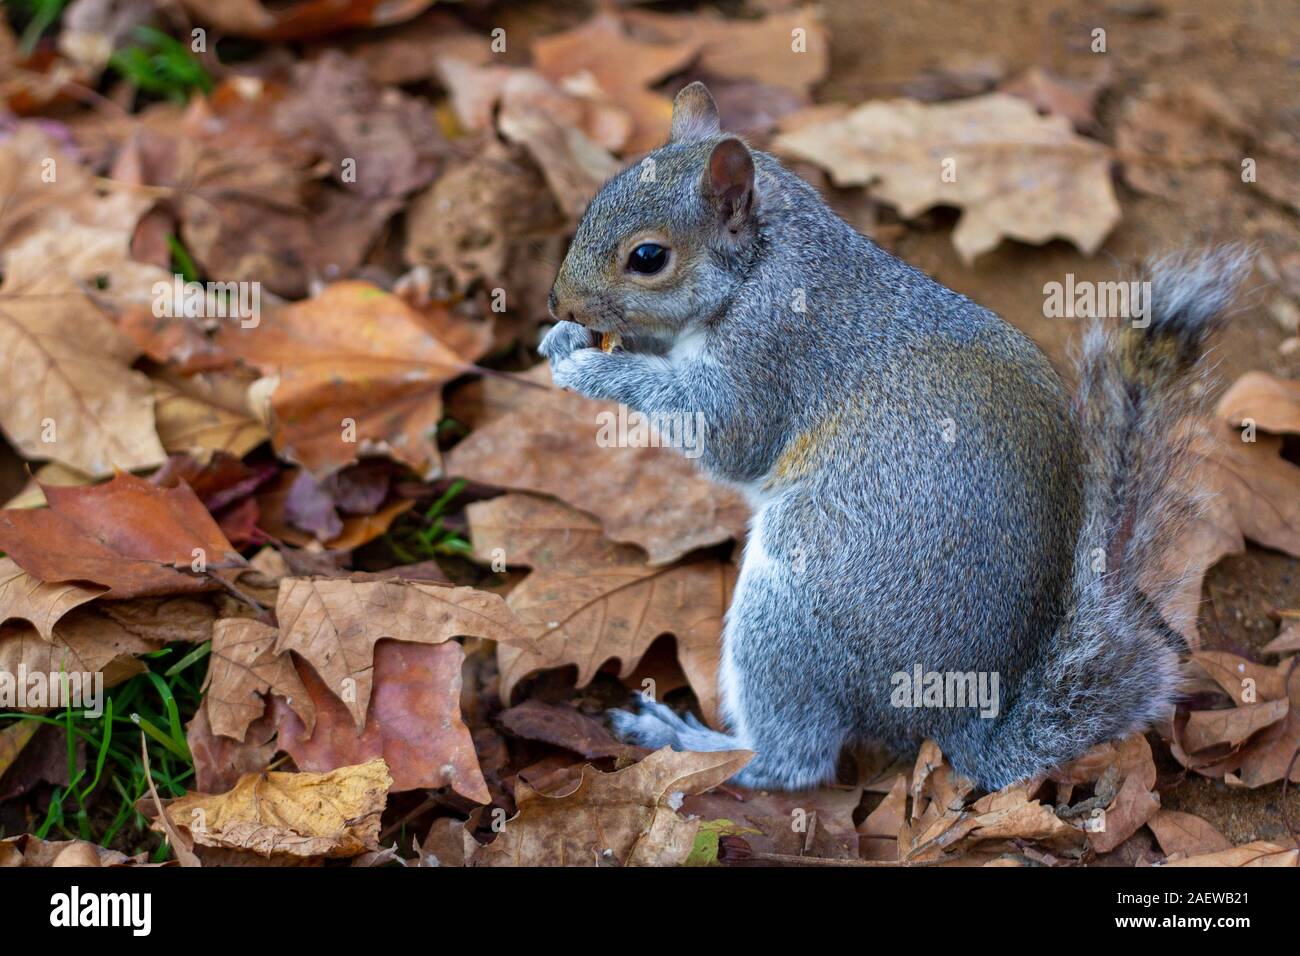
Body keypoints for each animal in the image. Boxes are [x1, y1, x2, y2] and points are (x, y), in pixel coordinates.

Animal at [539, 81, 1250, 792]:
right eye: (596, 200)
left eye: (648, 257)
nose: (558, 303)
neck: (760, 264)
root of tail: (956, 724)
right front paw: (563, 340)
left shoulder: (770, 354)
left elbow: (725, 435)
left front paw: (596, 369)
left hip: (796, 606)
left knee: (795, 759)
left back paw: (693, 744)